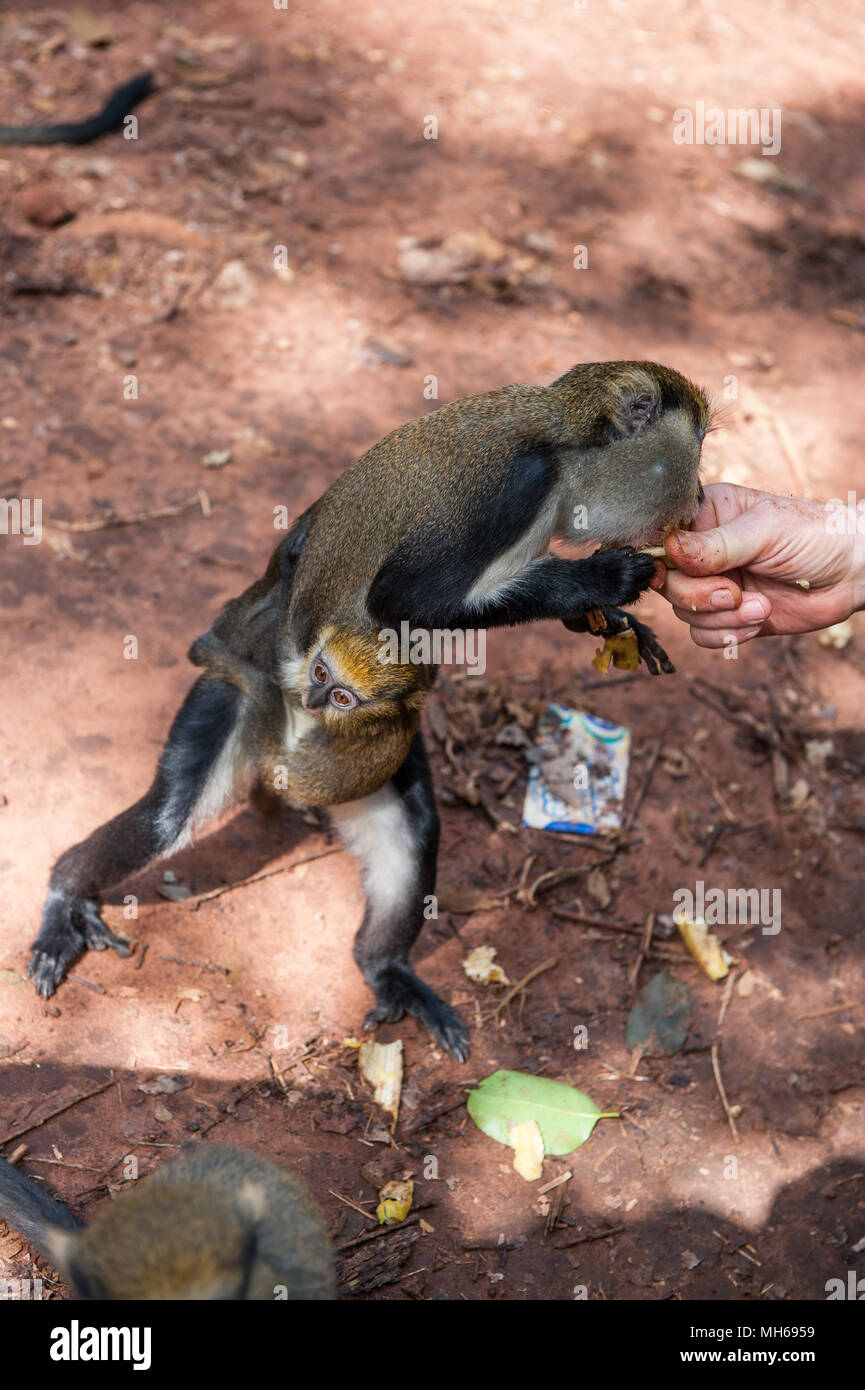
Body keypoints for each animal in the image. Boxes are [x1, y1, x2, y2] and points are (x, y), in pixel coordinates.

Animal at [27, 360, 710, 1062]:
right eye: (699, 445)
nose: (702, 496)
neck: (562, 440)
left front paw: (610, 619)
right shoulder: (514, 491)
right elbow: (403, 599)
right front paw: (600, 584)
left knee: (413, 826)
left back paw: (385, 968)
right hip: (234, 690)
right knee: (164, 819)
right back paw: (65, 894)